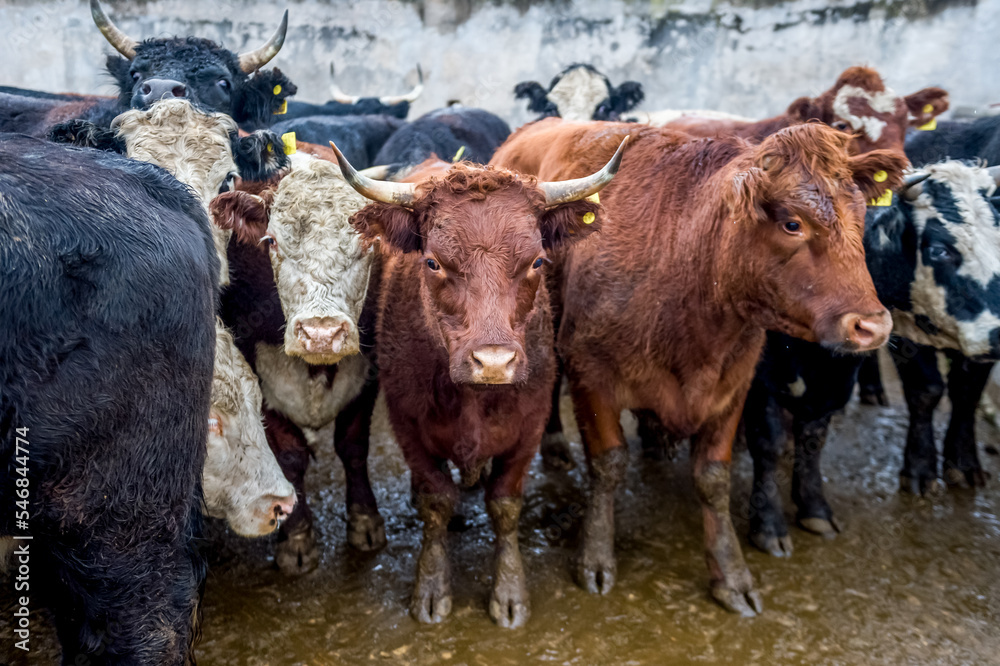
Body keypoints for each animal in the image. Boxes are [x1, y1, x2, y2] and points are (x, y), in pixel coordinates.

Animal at [210, 151, 383, 574]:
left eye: (368, 240)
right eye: (271, 241)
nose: (321, 333)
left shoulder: (370, 370)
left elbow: (354, 444)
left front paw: (365, 520)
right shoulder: (258, 378)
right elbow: (290, 456)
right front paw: (298, 539)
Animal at [327, 133, 627, 628]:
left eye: (537, 261)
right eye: (433, 262)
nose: (493, 362)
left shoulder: (529, 426)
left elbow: (505, 505)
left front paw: (509, 593)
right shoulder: (407, 424)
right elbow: (436, 501)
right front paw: (431, 588)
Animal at [491, 118, 906, 615]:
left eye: (861, 214)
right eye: (792, 223)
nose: (873, 325)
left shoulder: (734, 386)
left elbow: (713, 478)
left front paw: (731, 574)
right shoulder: (591, 373)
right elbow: (608, 466)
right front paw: (595, 558)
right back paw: (554, 444)